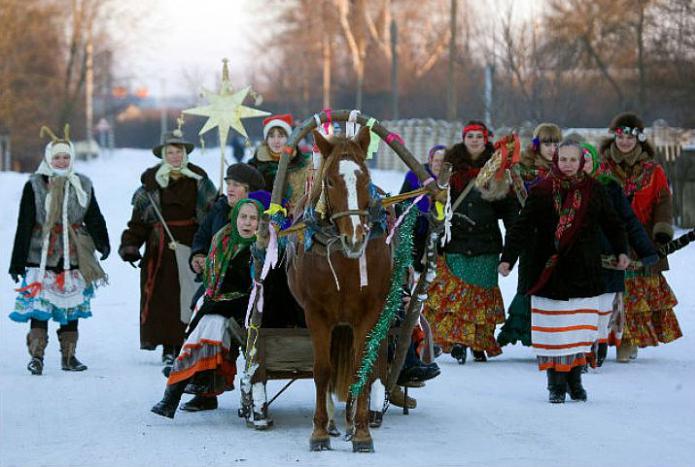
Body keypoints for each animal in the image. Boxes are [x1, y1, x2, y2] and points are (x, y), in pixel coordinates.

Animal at [286, 126, 394, 452]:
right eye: (331, 180)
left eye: (365, 179)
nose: (355, 237)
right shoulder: (317, 314)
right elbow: (323, 370)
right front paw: (319, 431)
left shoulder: (369, 312)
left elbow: (362, 368)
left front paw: (361, 432)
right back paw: (334, 422)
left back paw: (349, 422)